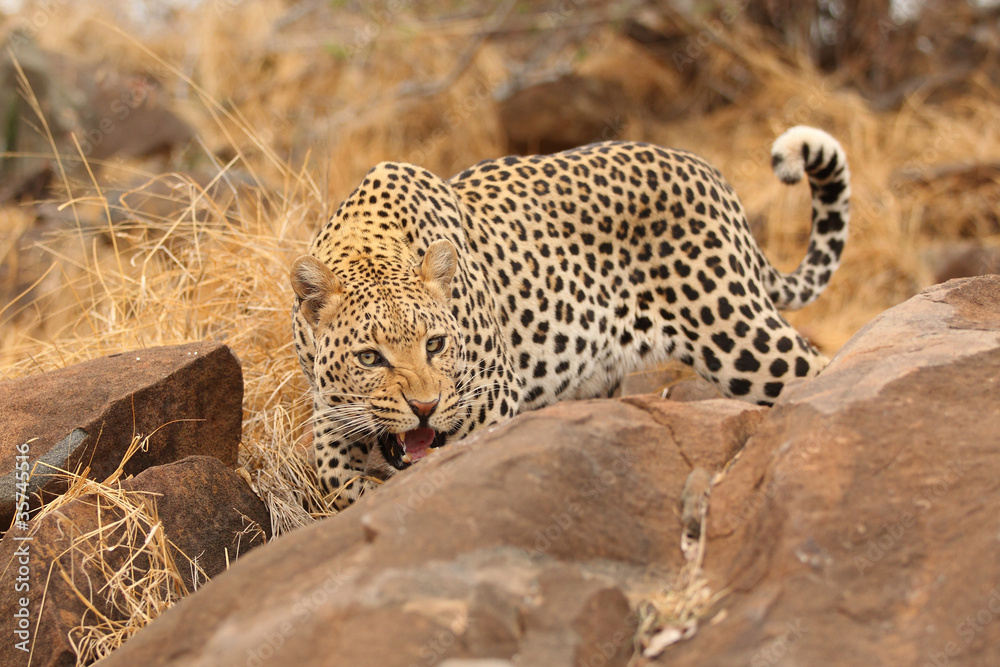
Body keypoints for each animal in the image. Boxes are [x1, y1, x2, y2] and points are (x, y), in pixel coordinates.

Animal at [291, 126, 850, 509]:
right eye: (369, 358)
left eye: (436, 345)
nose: (425, 408)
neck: (364, 246)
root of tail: (705, 169)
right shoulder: (327, 406)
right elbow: (333, 471)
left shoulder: (493, 396)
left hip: (737, 333)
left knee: (816, 372)